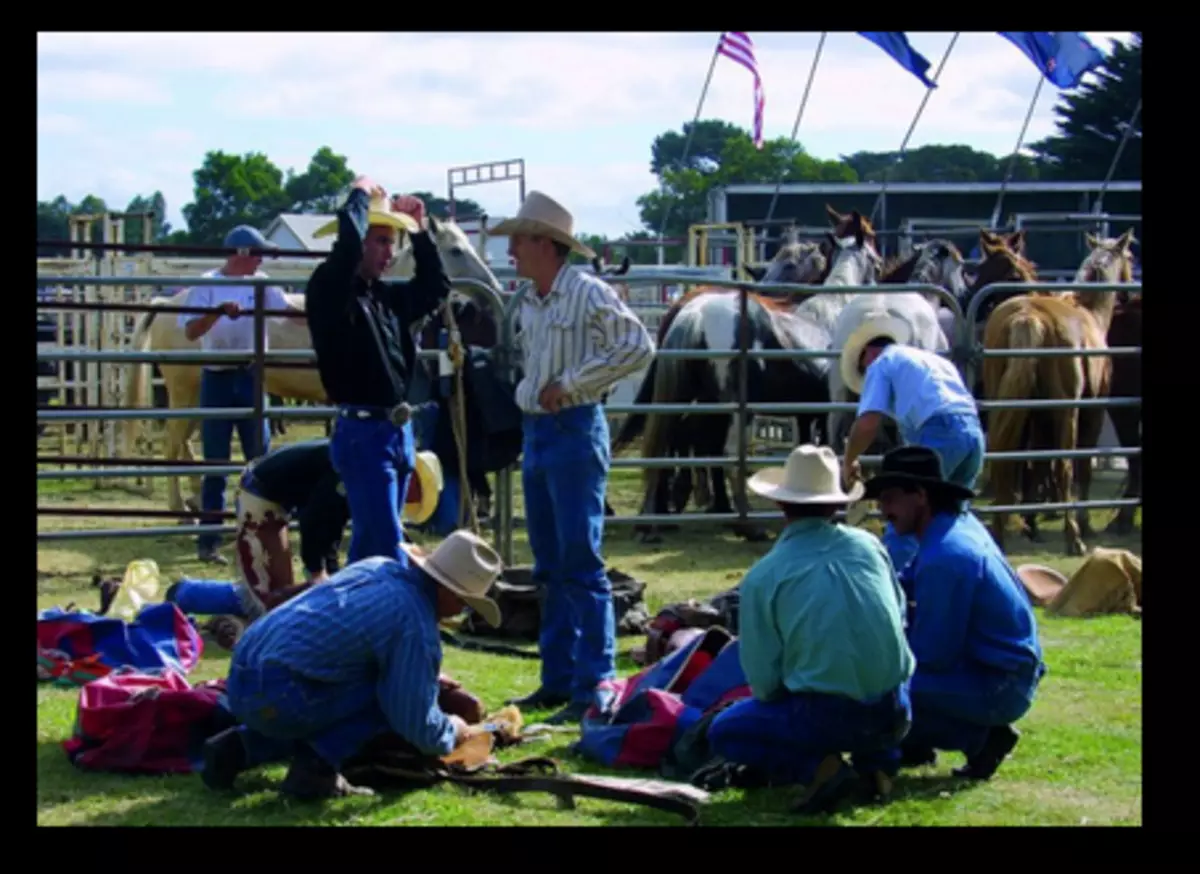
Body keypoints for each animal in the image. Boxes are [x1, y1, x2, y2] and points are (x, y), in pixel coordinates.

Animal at [124, 217, 508, 516]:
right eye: (456, 250)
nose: (494, 287)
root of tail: (169, 304)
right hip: (184, 391)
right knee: (174, 444)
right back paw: (179, 506)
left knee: (184, 445)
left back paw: (192, 499)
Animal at [619, 208, 883, 542]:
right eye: (874, 257)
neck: (834, 310)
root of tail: (694, 314)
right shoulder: (830, 409)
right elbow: (834, 450)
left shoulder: (808, 411)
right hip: (736, 413)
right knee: (728, 455)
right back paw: (744, 524)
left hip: (687, 402)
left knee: (665, 447)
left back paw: (655, 520)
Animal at [979, 225, 1128, 552]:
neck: (1088, 311)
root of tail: (1027, 317)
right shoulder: (1092, 413)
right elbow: (1080, 466)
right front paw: (1083, 524)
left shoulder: (1037, 417)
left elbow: (1034, 467)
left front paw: (1031, 522)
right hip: (1066, 412)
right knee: (1064, 467)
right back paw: (1074, 536)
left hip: (1006, 407)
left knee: (1004, 460)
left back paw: (999, 532)